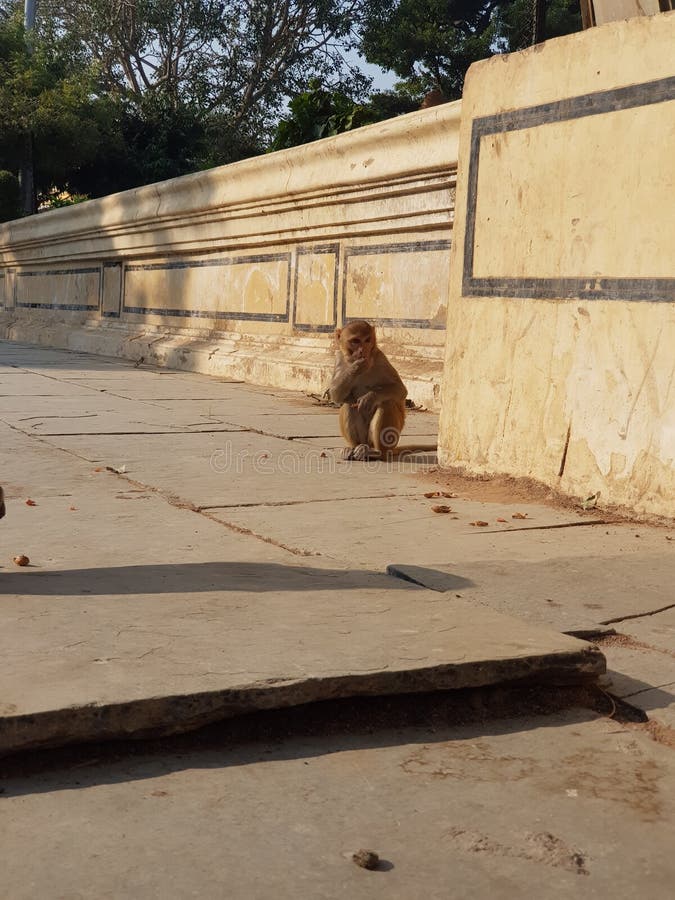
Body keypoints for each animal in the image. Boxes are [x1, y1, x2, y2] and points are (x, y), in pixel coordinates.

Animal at [329, 320, 407, 460]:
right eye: (355, 341)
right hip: (364, 438)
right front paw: (356, 367)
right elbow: (335, 395)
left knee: (387, 404)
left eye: (367, 340)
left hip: (391, 437)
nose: (362, 350)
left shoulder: (381, 358)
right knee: (349, 404)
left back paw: (377, 452)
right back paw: (353, 448)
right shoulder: (339, 358)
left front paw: (370, 397)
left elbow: (400, 389)